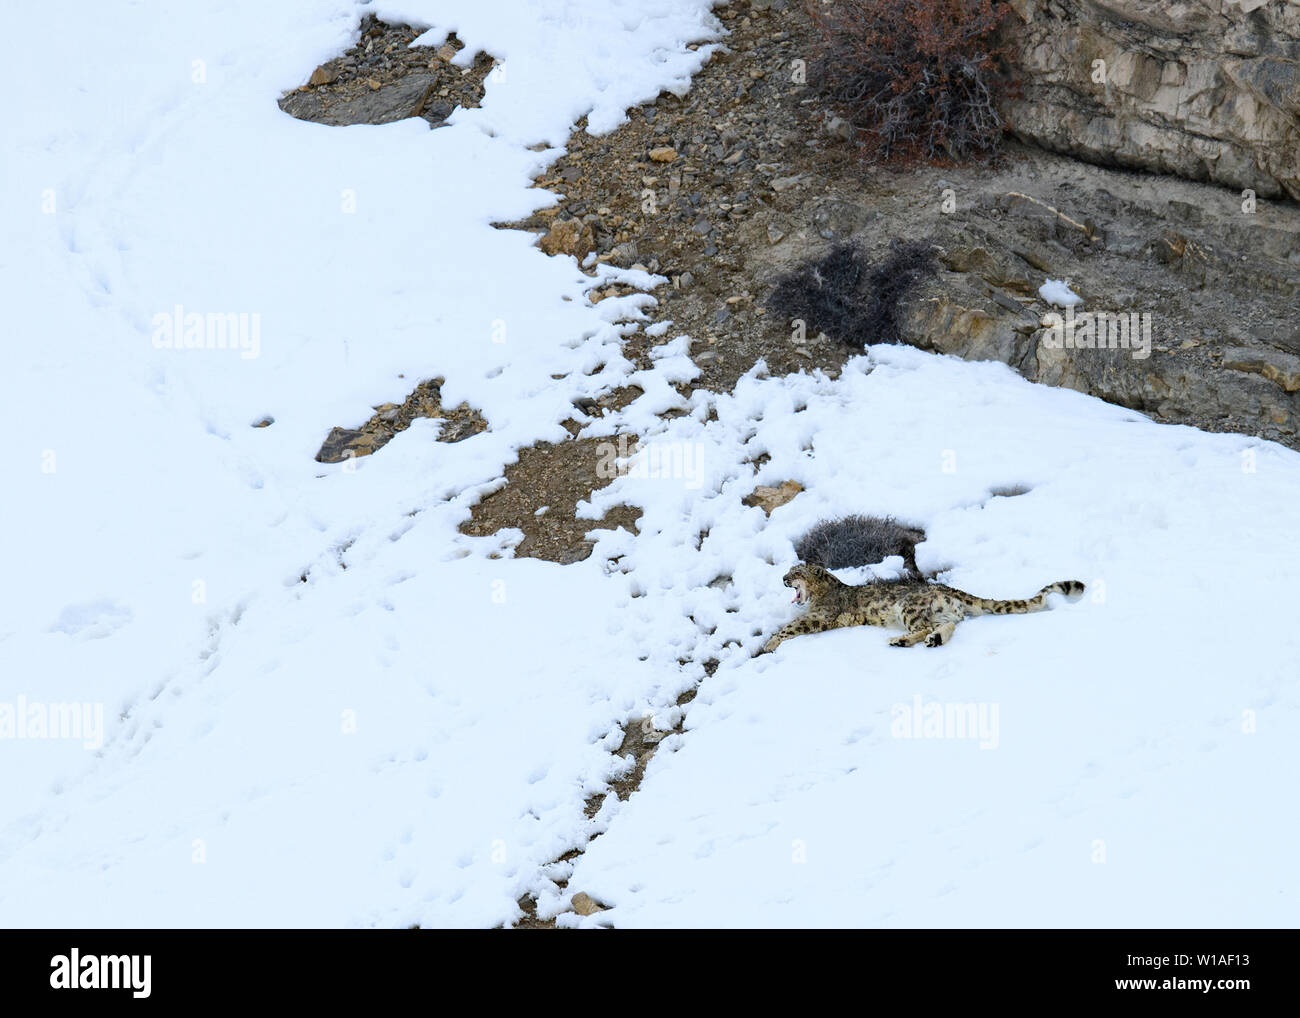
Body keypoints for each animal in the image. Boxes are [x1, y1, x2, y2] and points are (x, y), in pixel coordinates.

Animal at [762, 562, 1084, 652]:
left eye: (795, 572)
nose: (783, 578)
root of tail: (944, 588)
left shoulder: (820, 616)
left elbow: (791, 626)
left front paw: (768, 644)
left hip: (908, 607)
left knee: (924, 625)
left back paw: (901, 640)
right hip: (942, 611)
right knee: (947, 624)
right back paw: (934, 640)